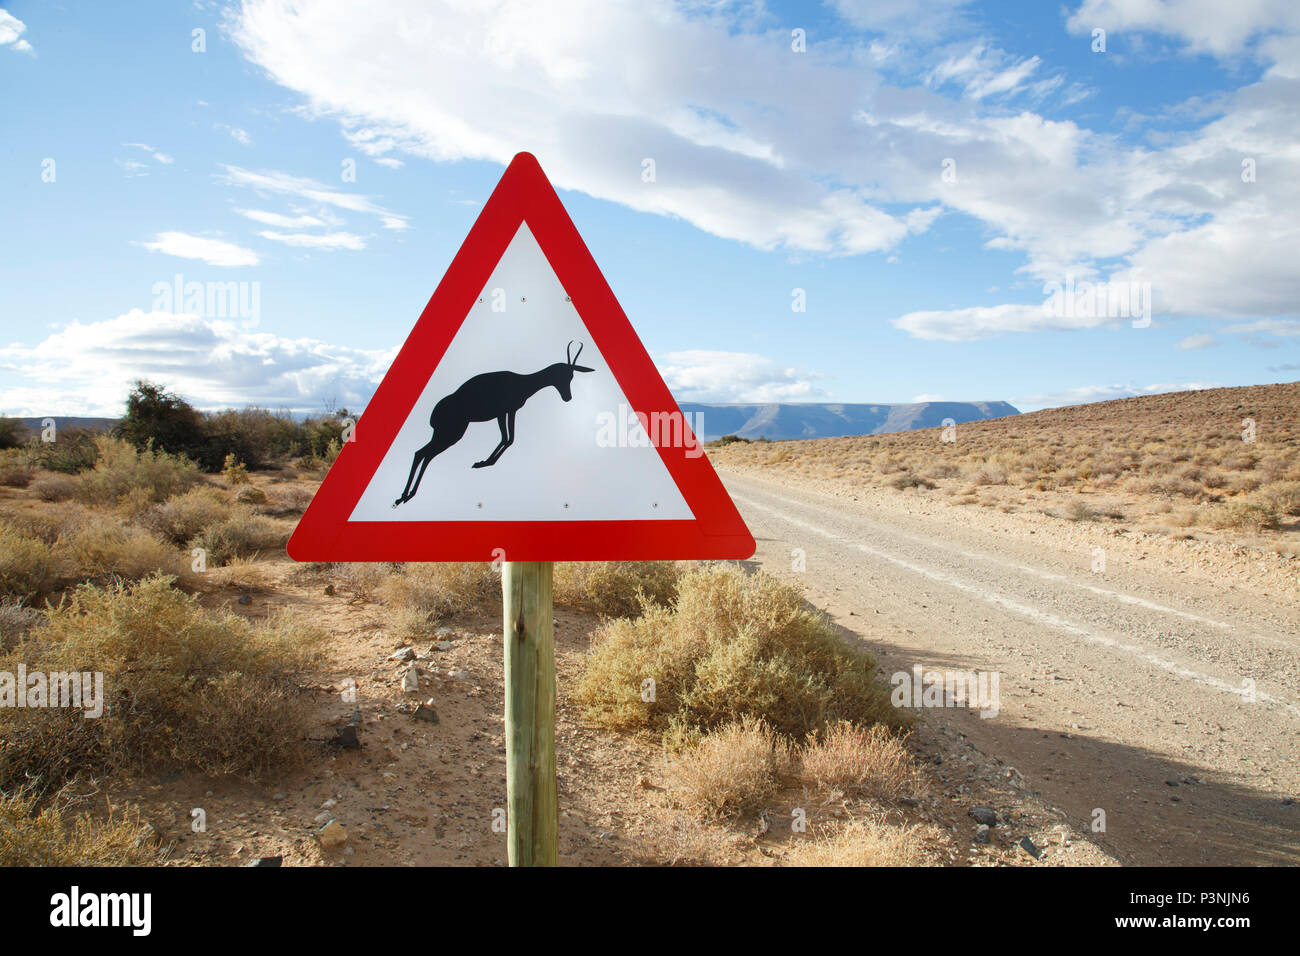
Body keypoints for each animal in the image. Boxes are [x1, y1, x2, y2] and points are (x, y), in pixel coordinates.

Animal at [393, 341, 595, 507]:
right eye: (561, 376)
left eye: (571, 376)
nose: (567, 397)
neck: (524, 382)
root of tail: (433, 415)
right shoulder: (505, 412)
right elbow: (508, 438)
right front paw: (484, 462)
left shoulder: (508, 412)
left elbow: (508, 439)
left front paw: (485, 462)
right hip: (452, 433)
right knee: (424, 453)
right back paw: (405, 496)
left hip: (445, 433)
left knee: (422, 453)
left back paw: (405, 496)